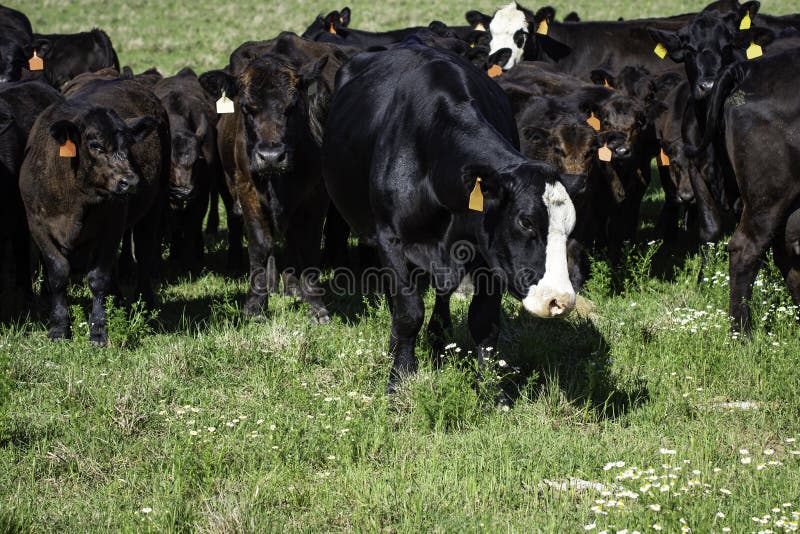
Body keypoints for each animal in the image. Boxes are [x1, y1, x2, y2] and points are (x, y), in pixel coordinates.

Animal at [19, 73, 169, 345]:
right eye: (96, 145)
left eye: (128, 144)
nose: (130, 181)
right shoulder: (37, 225)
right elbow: (58, 274)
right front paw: (59, 327)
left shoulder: (111, 227)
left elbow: (98, 277)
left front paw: (98, 330)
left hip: (154, 204)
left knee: (143, 253)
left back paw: (145, 304)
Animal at [154, 67, 219, 270]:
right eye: (170, 163)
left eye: (197, 161)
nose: (184, 192)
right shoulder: (166, 196)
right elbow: (174, 221)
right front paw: (175, 253)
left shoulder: (202, 192)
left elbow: (193, 222)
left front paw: (190, 259)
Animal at [199, 33, 345, 321]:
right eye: (246, 107)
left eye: (292, 106)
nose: (270, 156)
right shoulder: (247, 187)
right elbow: (260, 244)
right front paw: (256, 305)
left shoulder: (316, 194)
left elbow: (308, 244)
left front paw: (316, 304)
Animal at [322, 40, 579, 392]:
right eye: (525, 221)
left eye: (570, 227)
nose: (560, 301)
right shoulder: (390, 239)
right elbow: (408, 312)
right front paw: (399, 379)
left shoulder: (489, 254)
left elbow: (484, 323)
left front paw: (493, 391)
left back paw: (438, 339)